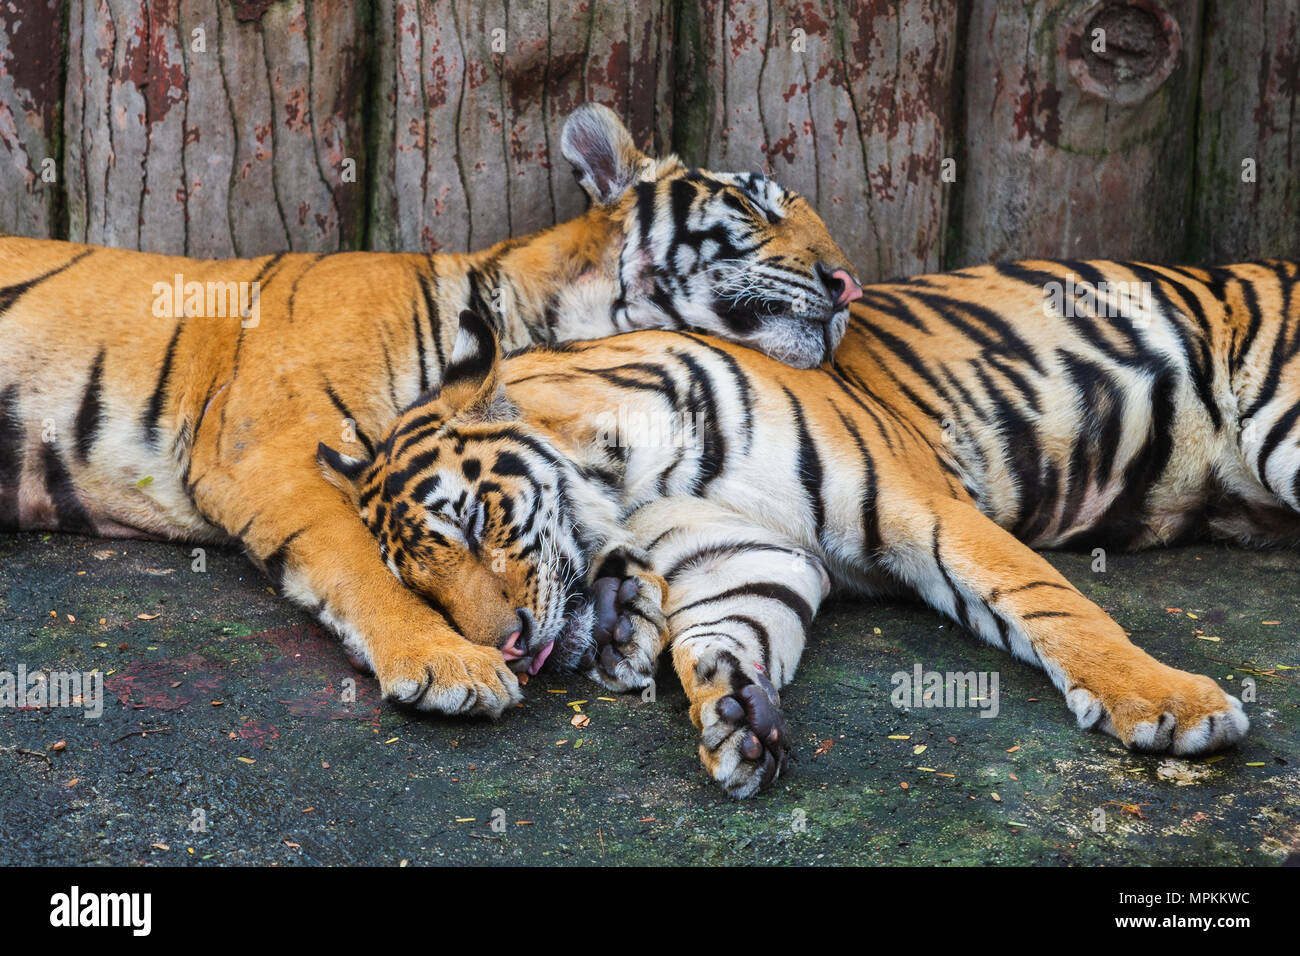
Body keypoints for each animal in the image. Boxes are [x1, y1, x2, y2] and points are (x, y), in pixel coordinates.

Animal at [0, 103, 863, 718]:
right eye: (751, 203)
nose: (849, 282)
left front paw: (623, 606)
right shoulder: (267, 448)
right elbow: (355, 557)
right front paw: (447, 662)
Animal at [319, 303, 1256, 798]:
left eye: (474, 523)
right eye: (423, 591)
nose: (506, 648)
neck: (625, 480)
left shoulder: (926, 507)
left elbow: (1049, 602)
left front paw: (1168, 704)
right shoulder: (744, 552)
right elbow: (728, 629)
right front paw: (733, 710)